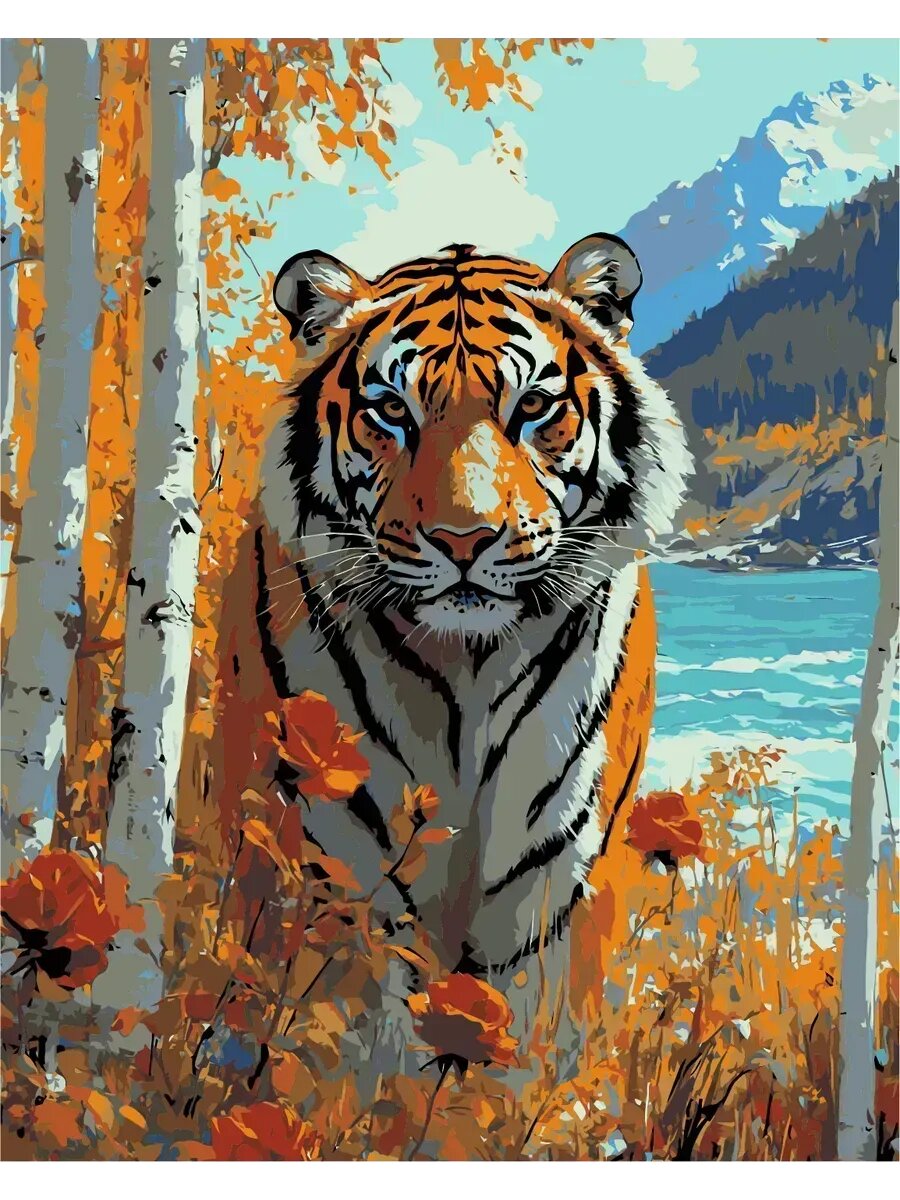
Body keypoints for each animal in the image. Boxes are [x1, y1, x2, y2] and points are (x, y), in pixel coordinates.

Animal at [257, 235, 691, 1070]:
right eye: (393, 410)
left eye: (532, 407)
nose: (464, 541)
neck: (467, 671)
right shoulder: (348, 863)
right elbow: (366, 1046)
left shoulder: (552, 879)